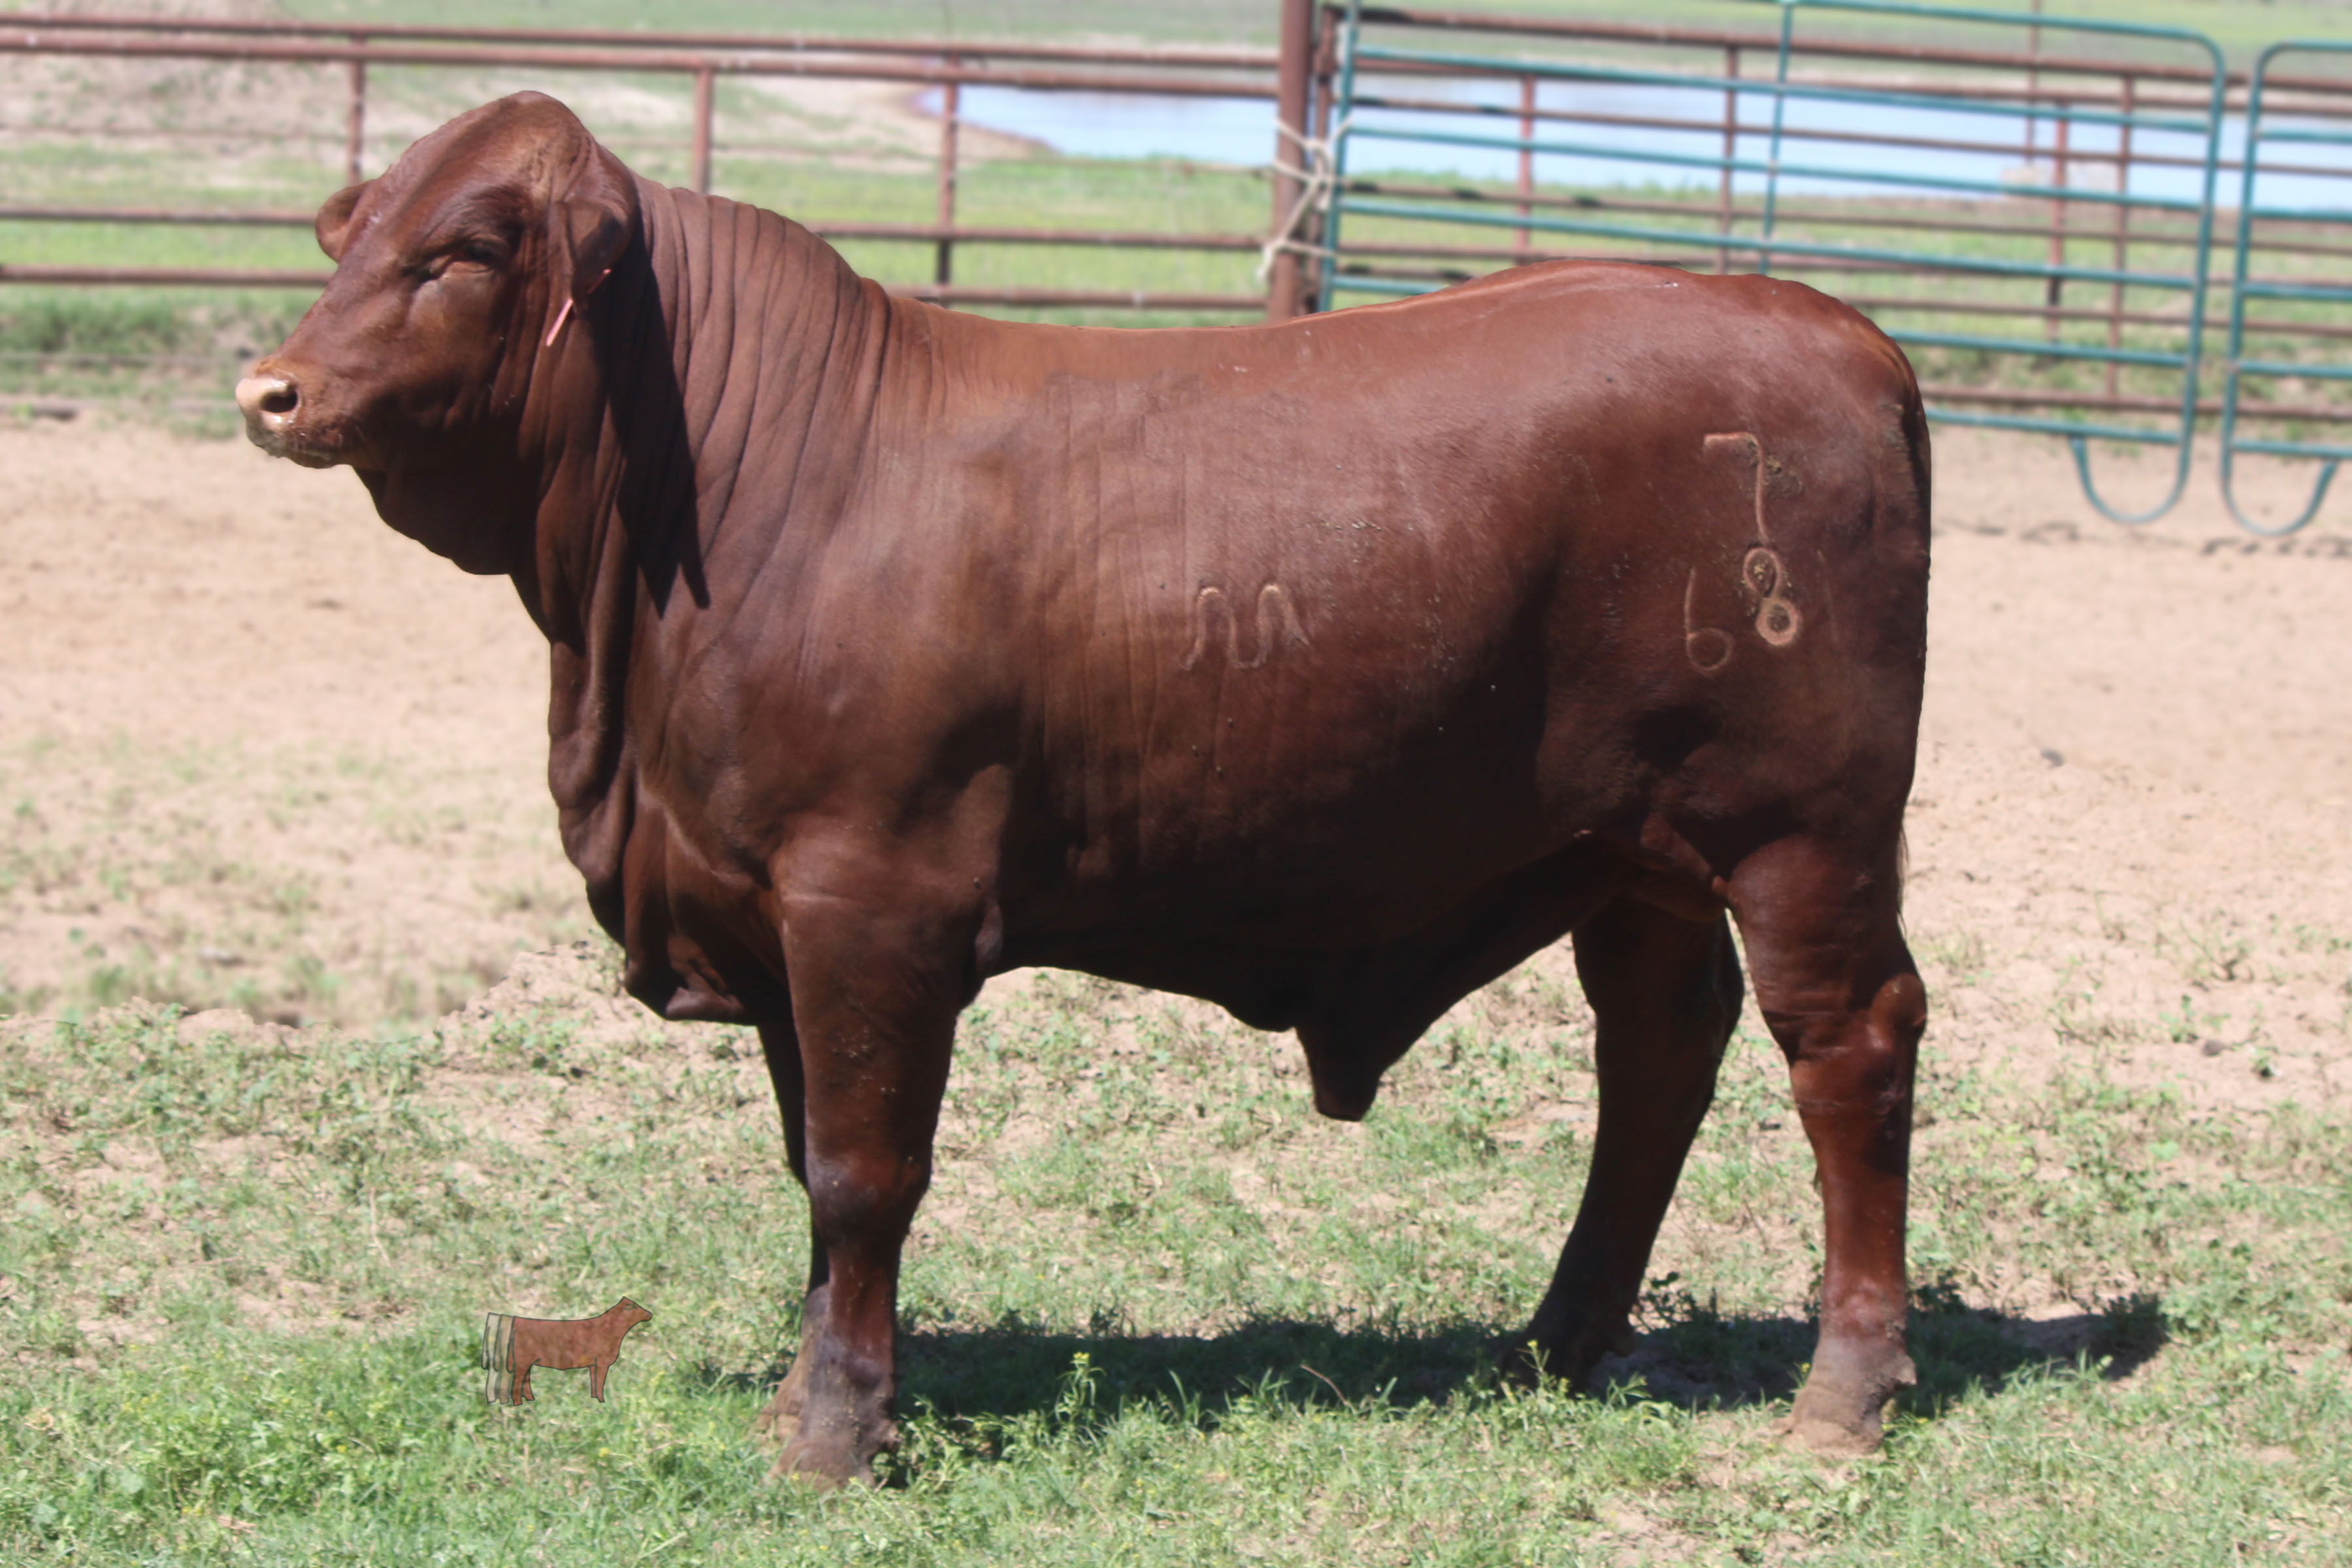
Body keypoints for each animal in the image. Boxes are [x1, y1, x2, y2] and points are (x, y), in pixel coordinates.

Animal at [236, 93, 1931, 1486]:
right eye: (352, 228)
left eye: (462, 249)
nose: (272, 389)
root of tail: (1829, 326)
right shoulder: (770, 907)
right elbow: (809, 1166)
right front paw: (806, 1401)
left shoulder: (873, 897)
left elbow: (861, 1174)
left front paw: (839, 1435)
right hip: (1634, 853)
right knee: (1653, 1054)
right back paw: (1553, 1341)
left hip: (1801, 831)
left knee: (1845, 1051)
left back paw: (1841, 1393)